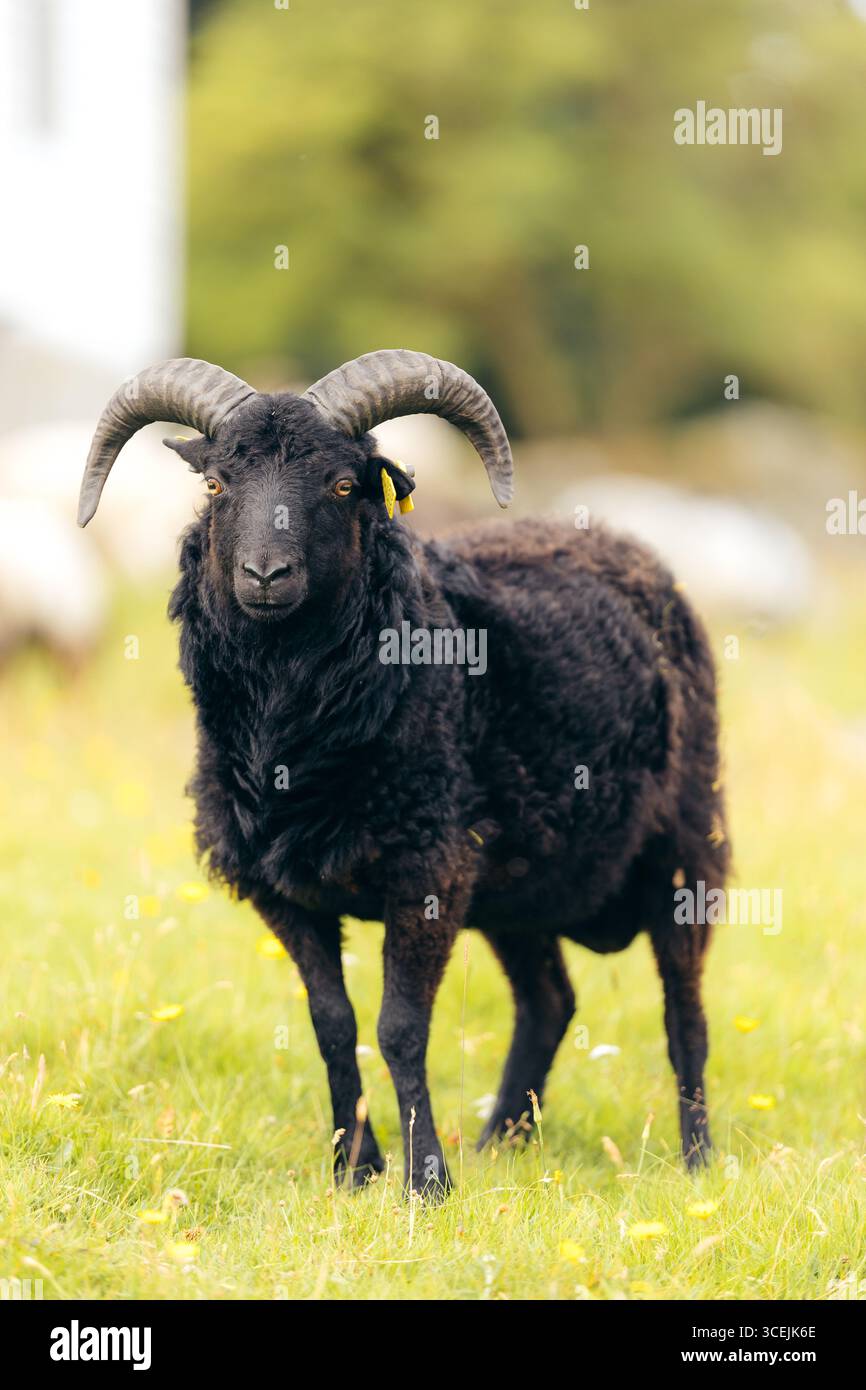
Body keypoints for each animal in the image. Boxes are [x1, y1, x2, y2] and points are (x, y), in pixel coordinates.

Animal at [78, 350, 729, 1193]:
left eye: (342, 485)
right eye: (217, 485)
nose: (264, 574)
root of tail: (620, 542)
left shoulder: (429, 870)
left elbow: (398, 1029)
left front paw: (427, 1182)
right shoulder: (283, 890)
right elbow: (333, 1024)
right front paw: (353, 1167)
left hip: (686, 842)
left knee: (684, 1012)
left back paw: (697, 1160)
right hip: (519, 883)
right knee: (549, 1000)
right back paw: (500, 1142)